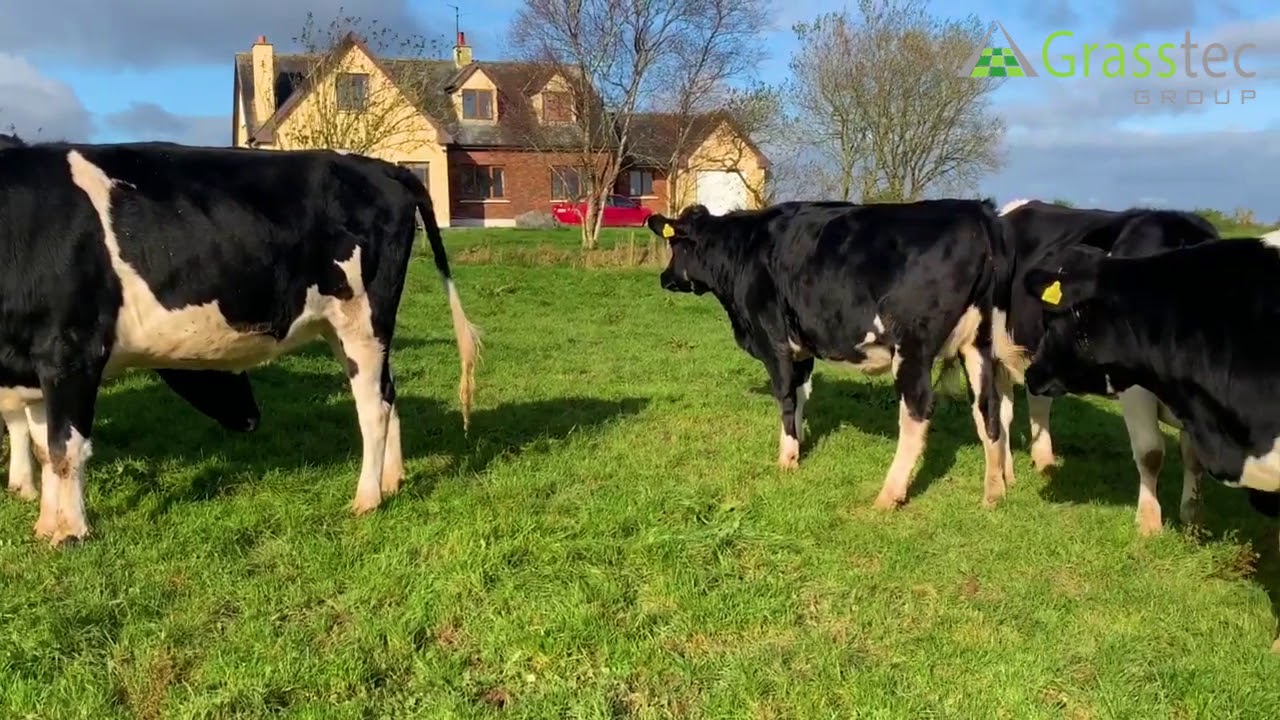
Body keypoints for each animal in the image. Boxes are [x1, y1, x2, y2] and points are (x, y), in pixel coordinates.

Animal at [0, 141, 480, 545]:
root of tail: (380, 166)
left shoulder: (72, 352)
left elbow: (65, 449)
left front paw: (72, 532)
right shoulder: (35, 368)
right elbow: (44, 447)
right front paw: (46, 526)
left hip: (362, 318)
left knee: (373, 408)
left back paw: (367, 498)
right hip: (351, 330)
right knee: (388, 392)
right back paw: (393, 480)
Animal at [644, 200, 1021, 511]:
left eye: (674, 244)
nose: (664, 278)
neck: (743, 251)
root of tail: (976, 210)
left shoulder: (774, 341)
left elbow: (785, 397)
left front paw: (787, 459)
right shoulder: (802, 348)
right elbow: (801, 395)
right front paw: (799, 444)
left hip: (913, 346)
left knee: (918, 410)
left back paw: (888, 495)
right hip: (978, 344)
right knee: (988, 408)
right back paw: (994, 492)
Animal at [993, 199, 1221, 535]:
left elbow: (1194, 458)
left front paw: (1192, 517)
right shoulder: (1135, 389)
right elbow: (1151, 452)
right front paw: (1149, 522)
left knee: (1038, 403)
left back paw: (1044, 460)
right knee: (1001, 414)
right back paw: (1006, 471)